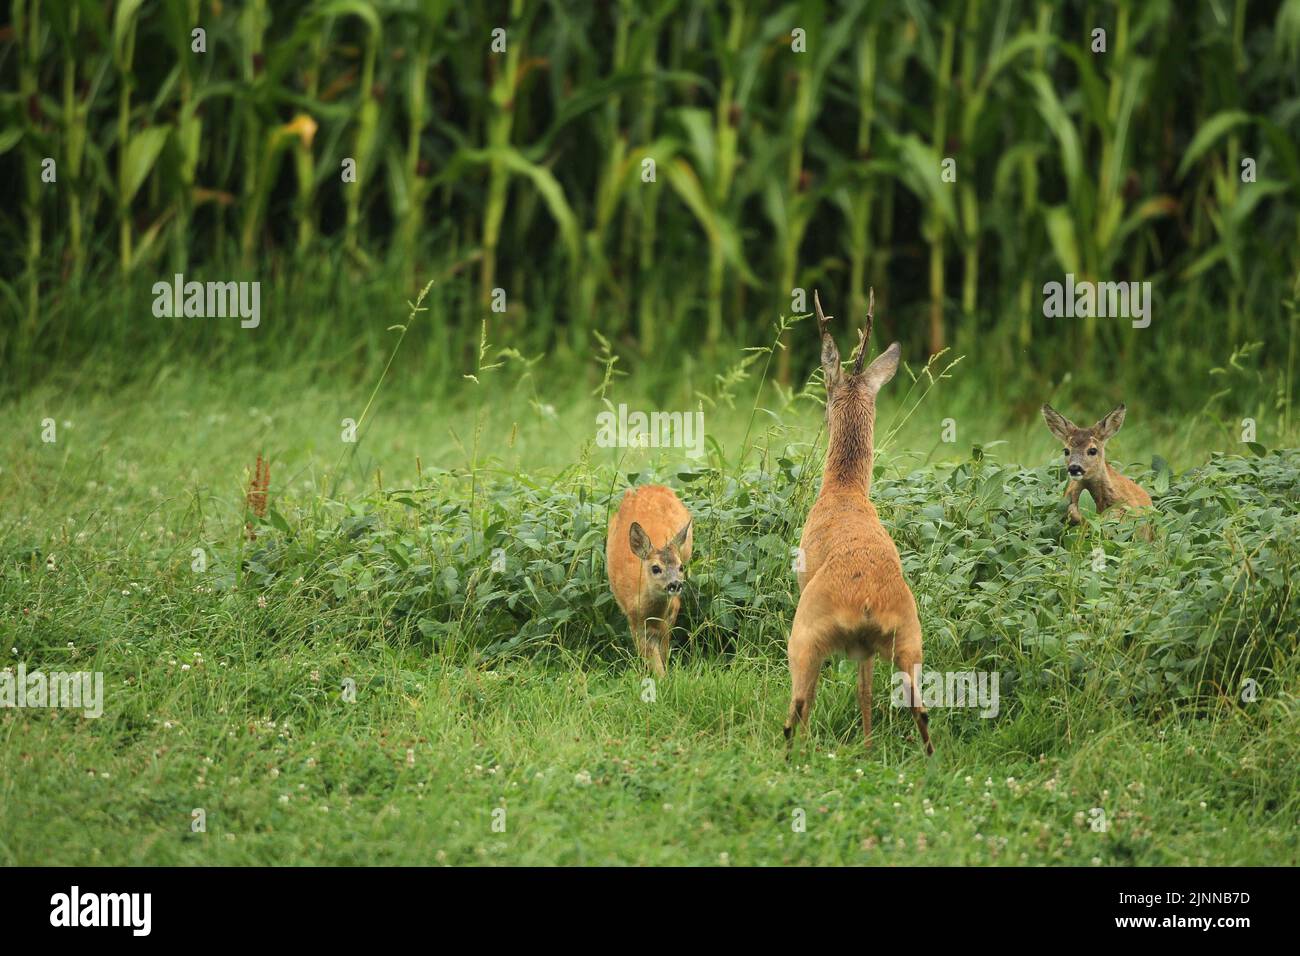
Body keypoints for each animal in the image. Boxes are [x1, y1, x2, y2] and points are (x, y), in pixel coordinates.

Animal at [606, 485, 693, 676]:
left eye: (681, 567)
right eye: (655, 568)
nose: (675, 584)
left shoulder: (672, 610)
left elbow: (664, 648)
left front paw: (665, 674)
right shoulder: (633, 618)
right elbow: (648, 652)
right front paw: (657, 676)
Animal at [784, 290, 933, 756]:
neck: (844, 490)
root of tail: (866, 600)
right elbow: (865, 691)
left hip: (804, 633)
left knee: (800, 701)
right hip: (909, 638)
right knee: (918, 708)